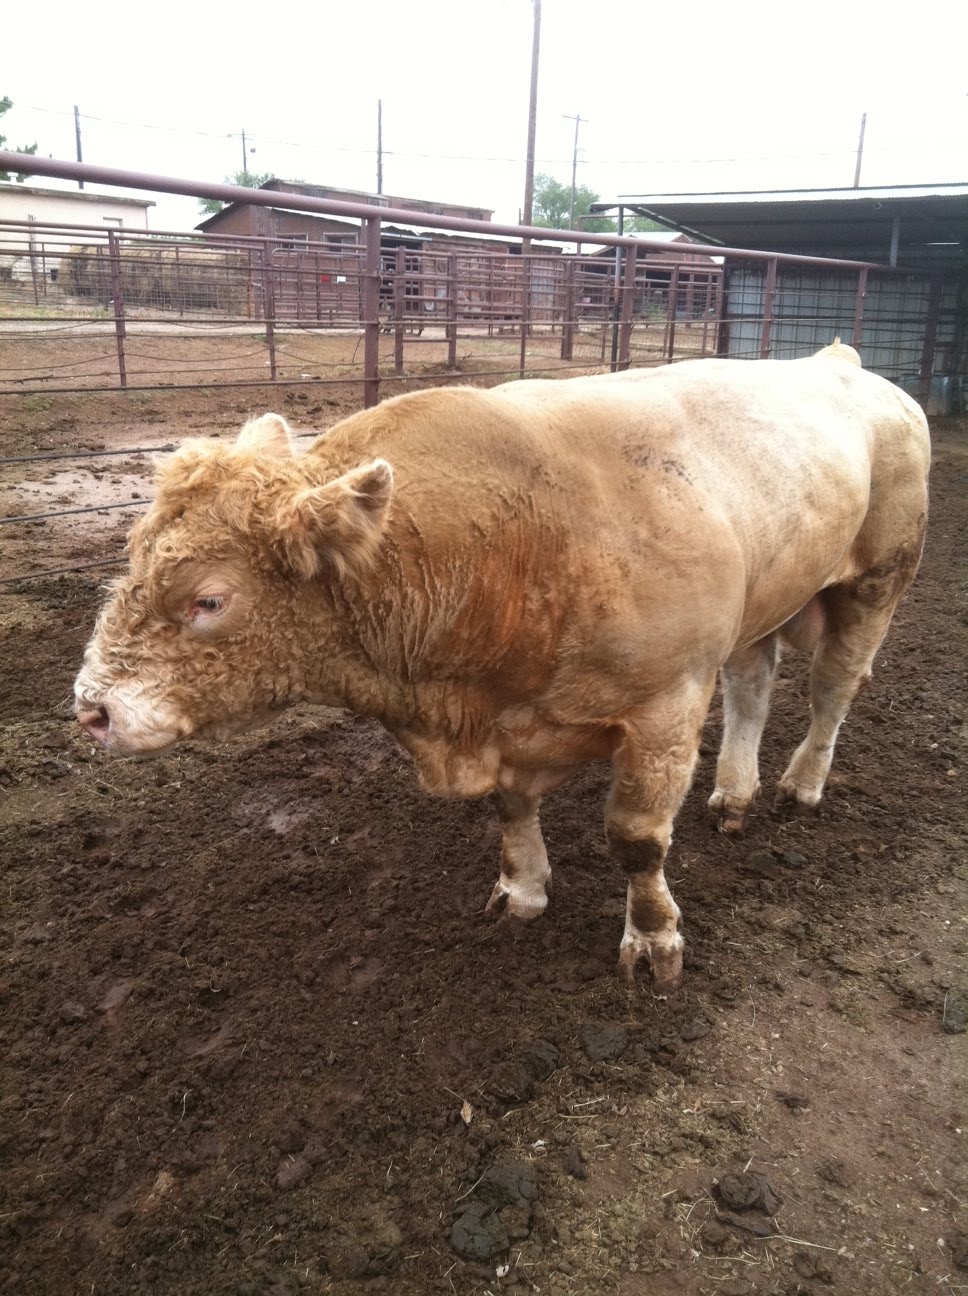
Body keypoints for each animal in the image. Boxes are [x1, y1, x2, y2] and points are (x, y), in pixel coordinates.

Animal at [74, 343, 930, 994]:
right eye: (135, 556)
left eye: (209, 599)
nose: (92, 708)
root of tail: (841, 362)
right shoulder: (505, 723)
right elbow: (512, 809)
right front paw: (521, 889)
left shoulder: (665, 707)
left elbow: (637, 841)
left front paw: (653, 939)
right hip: (766, 602)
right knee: (753, 686)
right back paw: (734, 793)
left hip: (879, 580)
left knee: (832, 689)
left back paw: (802, 783)